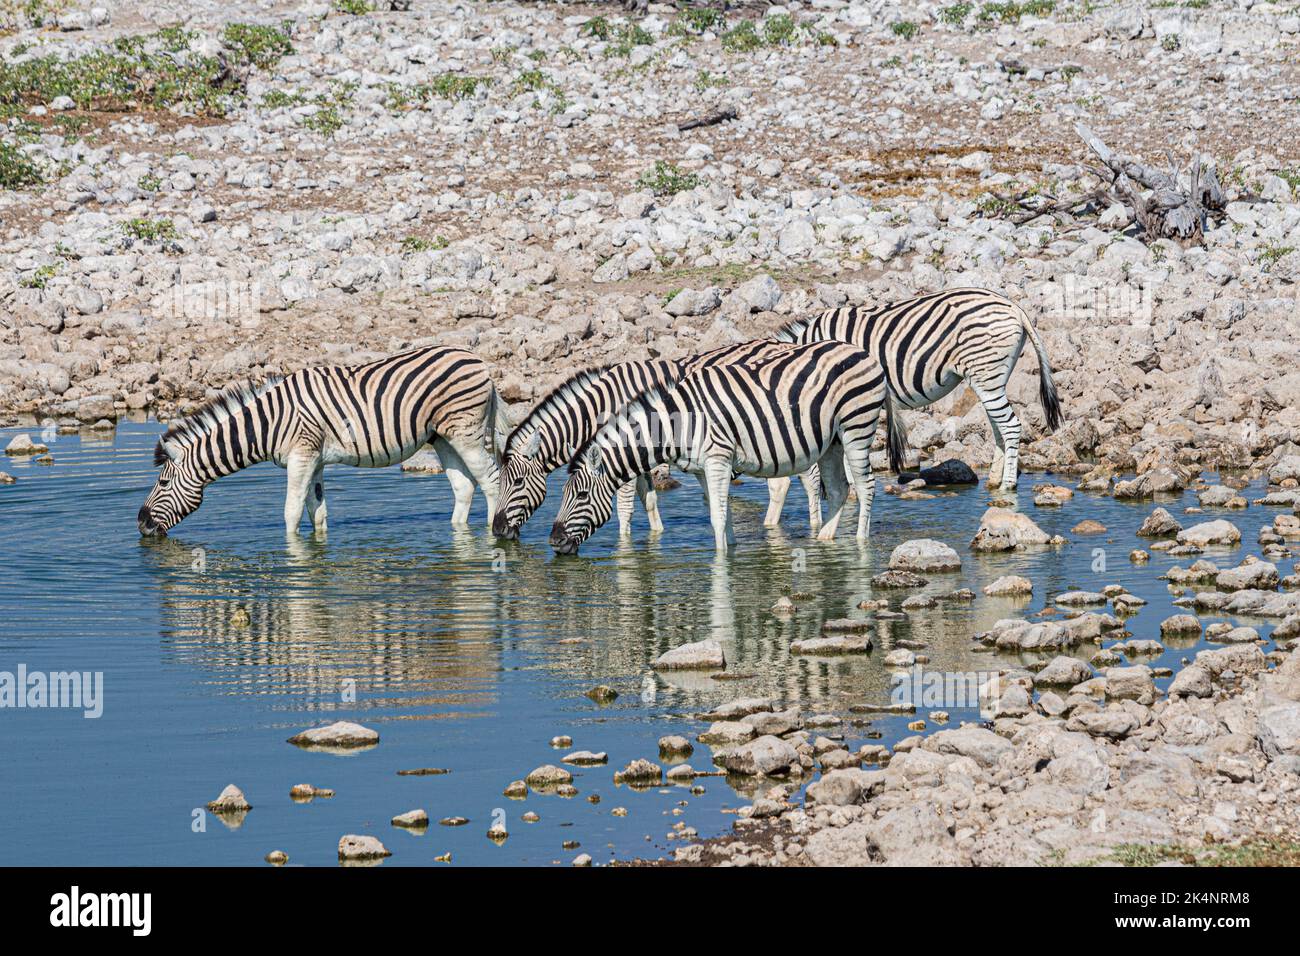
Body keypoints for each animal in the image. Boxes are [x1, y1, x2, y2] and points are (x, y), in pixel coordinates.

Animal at [138, 345, 509, 536]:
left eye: (163, 482)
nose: (140, 524)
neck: (269, 423)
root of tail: (480, 362)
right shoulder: (314, 460)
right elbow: (316, 511)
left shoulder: (301, 456)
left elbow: (290, 513)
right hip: (443, 437)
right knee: (464, 487)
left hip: (465, 433)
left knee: (493, 482)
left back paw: (494, 534)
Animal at [491, 340, 823, 541]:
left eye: (517, 482)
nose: (497, 530)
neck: (604, 406)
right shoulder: (634, 455)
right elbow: (649, 500)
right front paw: (655, 537)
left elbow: (625, 507)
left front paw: (624, 547)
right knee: (783, 482)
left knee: (809, 479)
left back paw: (815, 528)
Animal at [549, 341, 905, 554]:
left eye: (581, 495)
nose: (554, 541)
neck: (678, 423)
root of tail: (864, 353)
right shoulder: (702, 469)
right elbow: (721, 513)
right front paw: (730, 551)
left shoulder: (718, 458)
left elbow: (717, 517)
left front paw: (720, 564)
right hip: (831, 441)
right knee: (840, 488)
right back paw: (825, 540)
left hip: (856, 427)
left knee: (866, 486)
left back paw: (860, 542)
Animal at [776, 287, 1061, 490]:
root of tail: (1014, 306)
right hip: (989, 379)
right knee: (999, 427)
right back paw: (993, 479)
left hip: (986, 375)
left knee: (1011, 426)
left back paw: (1007, 485)